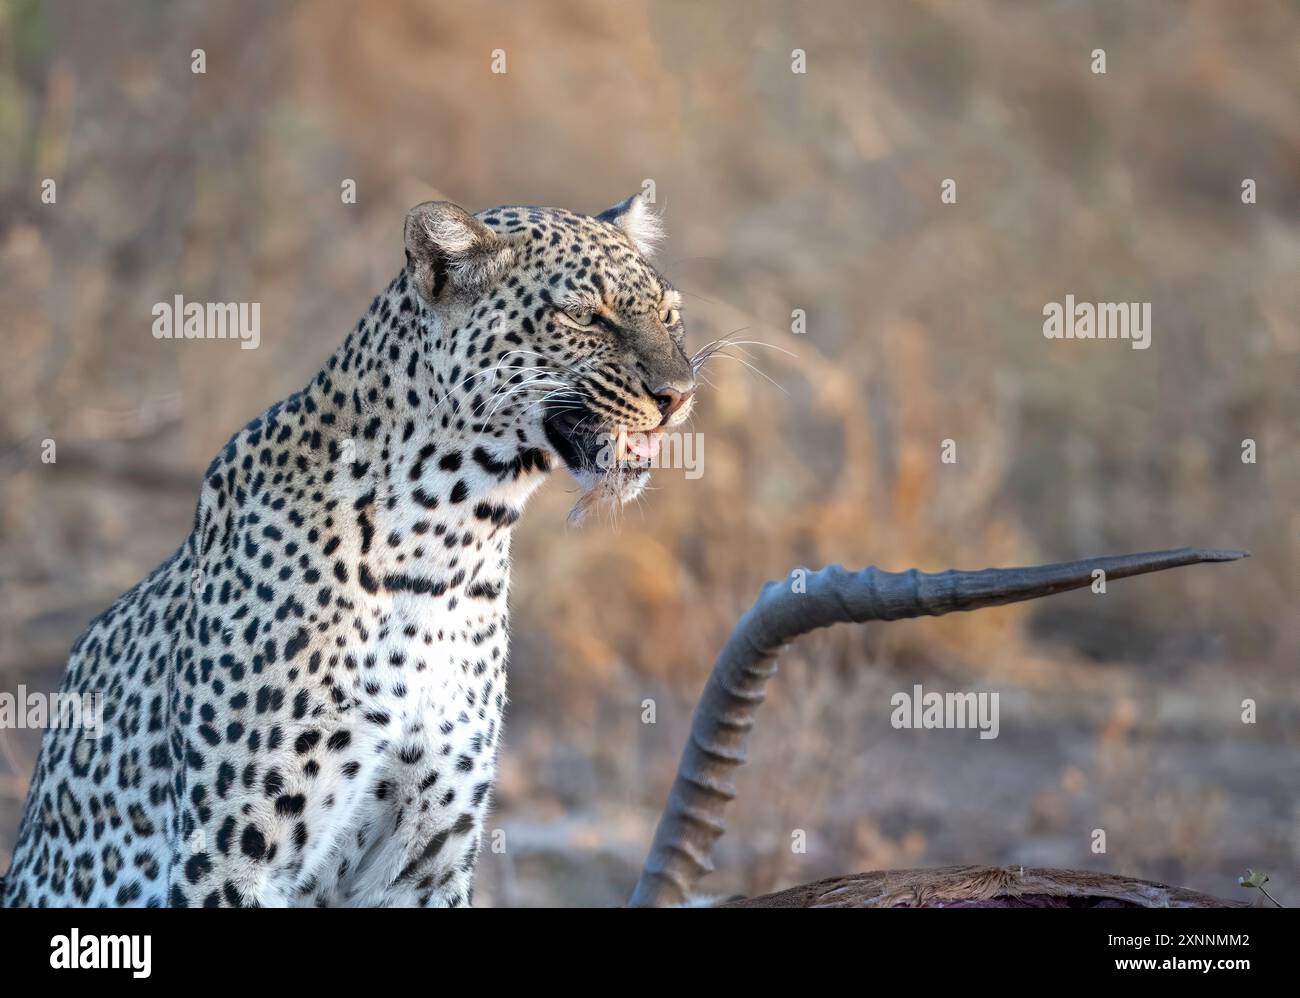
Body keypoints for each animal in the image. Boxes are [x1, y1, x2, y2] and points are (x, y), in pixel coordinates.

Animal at [1, 192, 696, 907]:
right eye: (585, 315)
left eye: (671, 315)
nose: (680, 395)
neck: (450, 540)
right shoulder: (226, 854)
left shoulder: (429, 856)